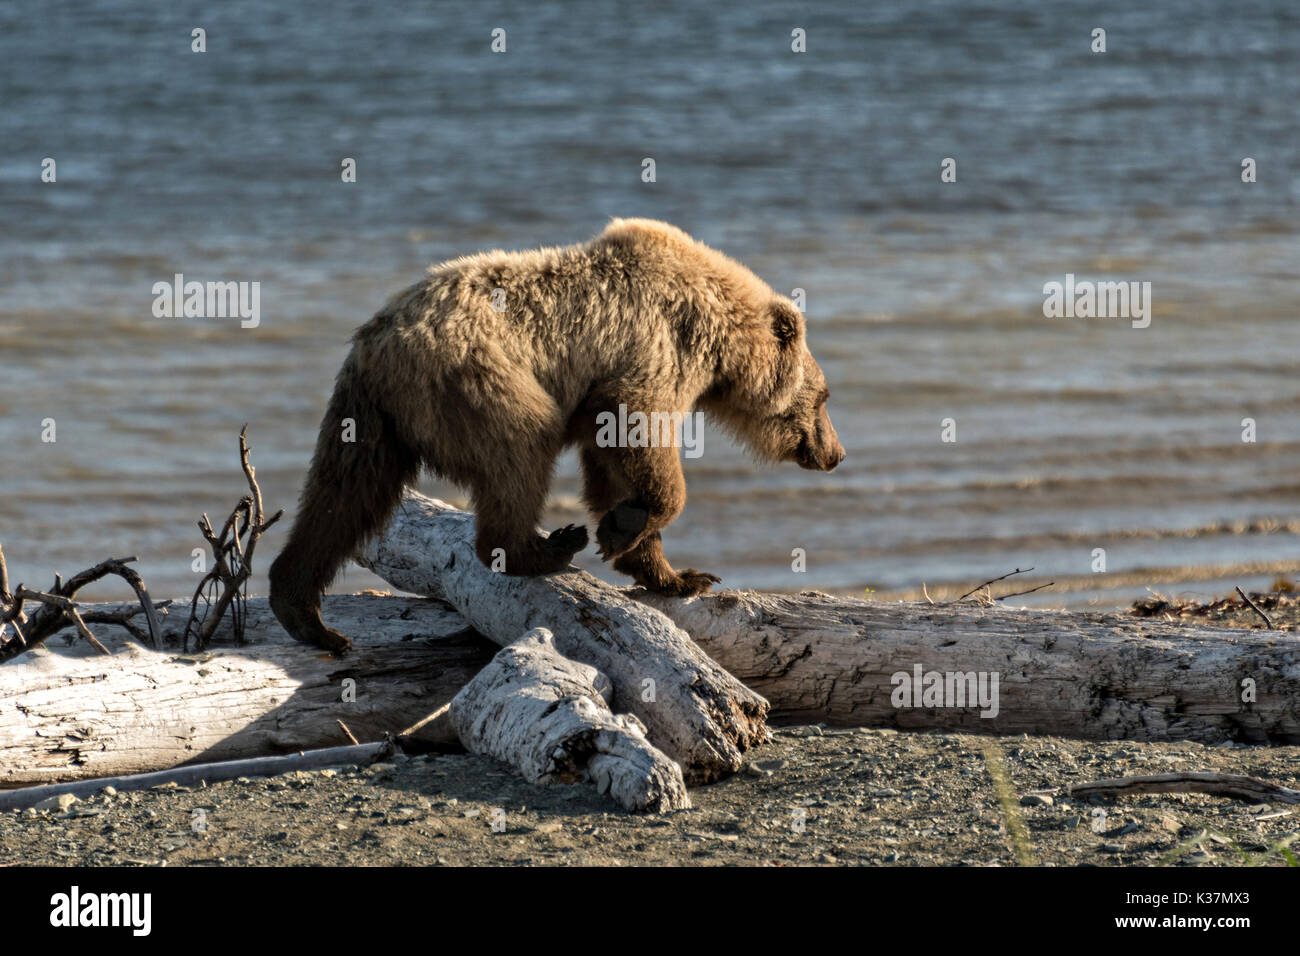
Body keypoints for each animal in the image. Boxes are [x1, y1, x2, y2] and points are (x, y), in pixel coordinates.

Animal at [268, 218, 844, 653]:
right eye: (824, 397)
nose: (835, 453)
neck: (719, 337)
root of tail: (379, 342)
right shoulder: (653, 350)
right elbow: (642, 429)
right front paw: (622, 528)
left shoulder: (603, 394)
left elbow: (610, 462)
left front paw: (673, 571)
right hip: (481, 377)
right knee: (520, 449)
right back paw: (545, 547)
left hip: (367, 412)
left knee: (343, 494)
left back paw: (304, 612)